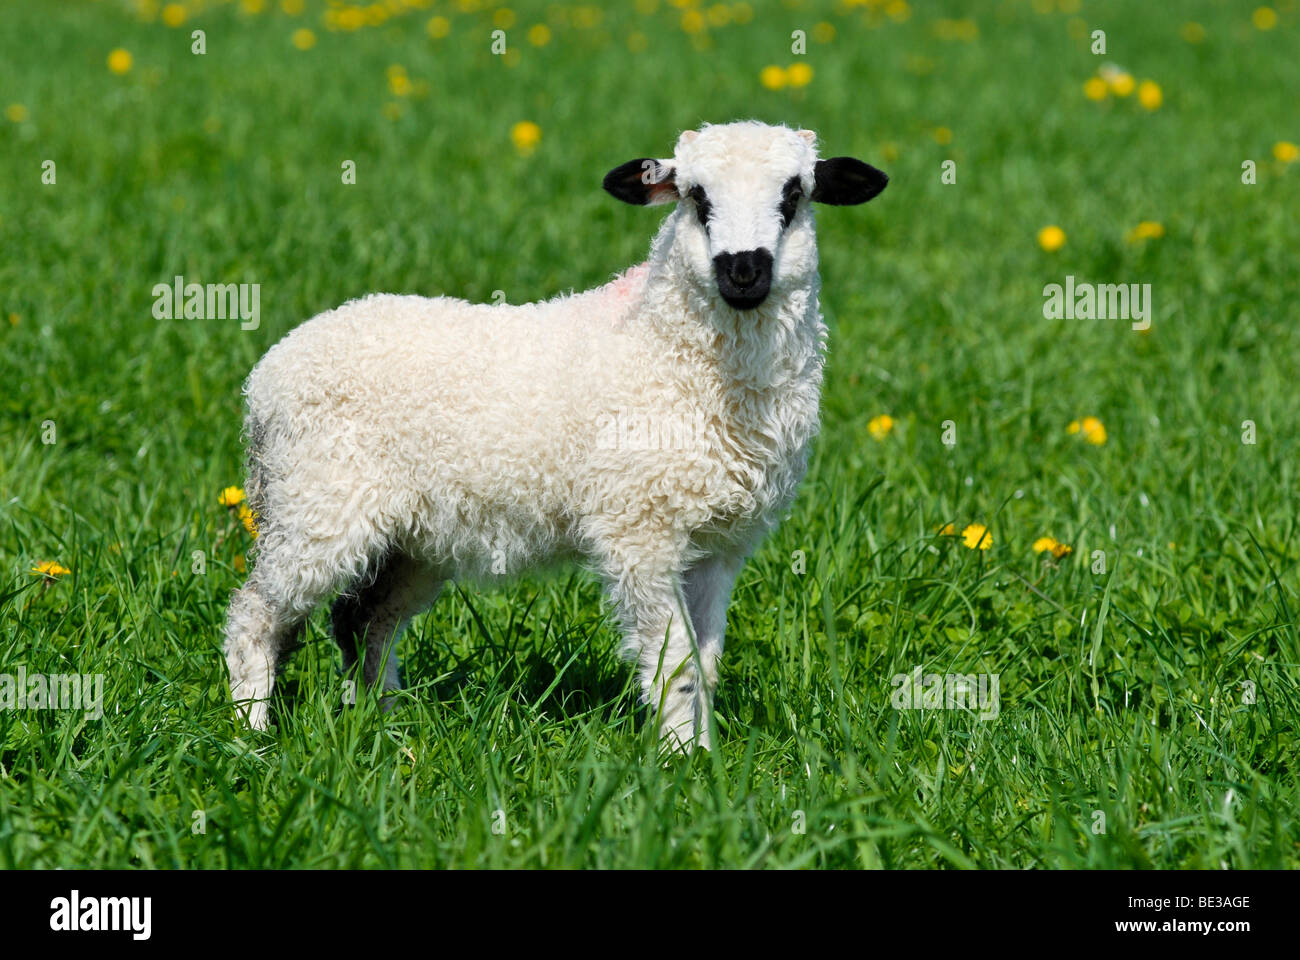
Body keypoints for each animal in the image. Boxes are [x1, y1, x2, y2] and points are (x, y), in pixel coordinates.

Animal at [223, 121, 887, 750]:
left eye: (794, 195)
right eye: (696, 197)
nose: (743, 270)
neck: (666, 350)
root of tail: (264, 381)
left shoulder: (720, 543)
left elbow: (705, 663)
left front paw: (707, 756)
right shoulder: (639, 527)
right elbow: (674, 662)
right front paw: (680, 759)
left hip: (414, 535)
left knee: (364, 621)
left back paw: (382, 725)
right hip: (315, 504)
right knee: (256, 617)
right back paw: (250, 732)